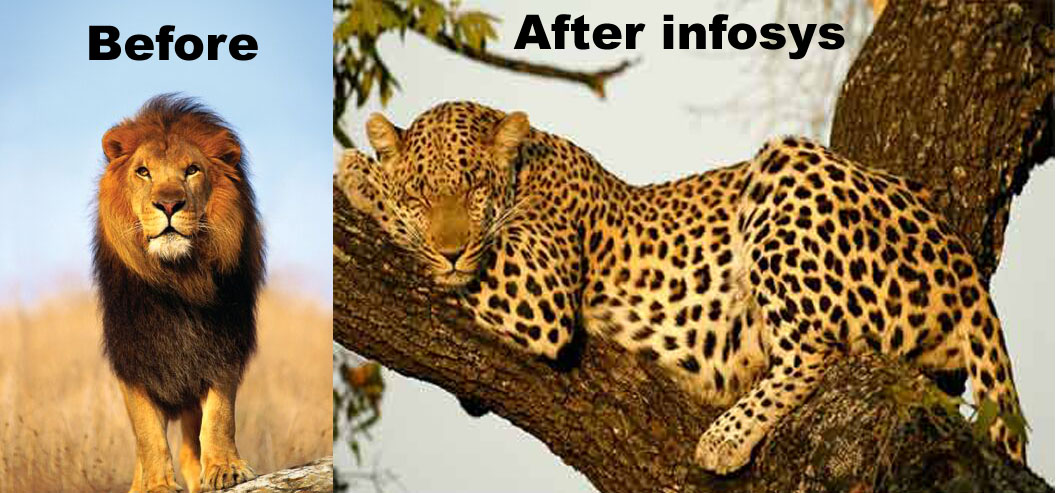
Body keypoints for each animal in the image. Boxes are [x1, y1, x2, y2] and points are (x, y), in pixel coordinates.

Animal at [337, 101, 1025, 475]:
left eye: (474, 187)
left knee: (814, 351)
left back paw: (725, 437)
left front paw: (356, 172)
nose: (450, 251)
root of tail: (960, 258)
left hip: (785, 167)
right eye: (421, 193)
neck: (529, 165)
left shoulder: (539, 291)